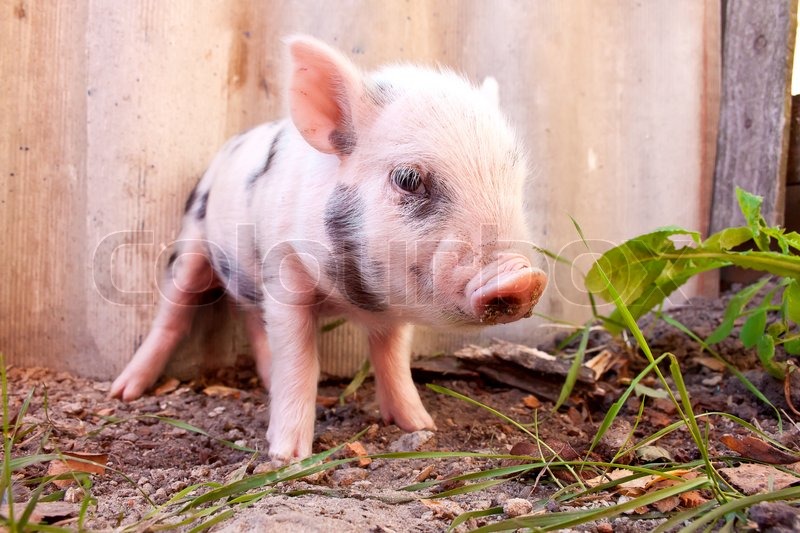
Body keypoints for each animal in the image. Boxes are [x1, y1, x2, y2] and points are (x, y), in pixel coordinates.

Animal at [110, 35, 547, 460]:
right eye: (407, 179)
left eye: (517, 181)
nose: (523, 277)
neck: (348, 297)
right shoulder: (284, 268)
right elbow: (300, 358)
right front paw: (289, 457)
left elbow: (392, 357)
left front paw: (422, 426)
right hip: (190, 241)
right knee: (174, 312)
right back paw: (124, 391)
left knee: (252, 318)